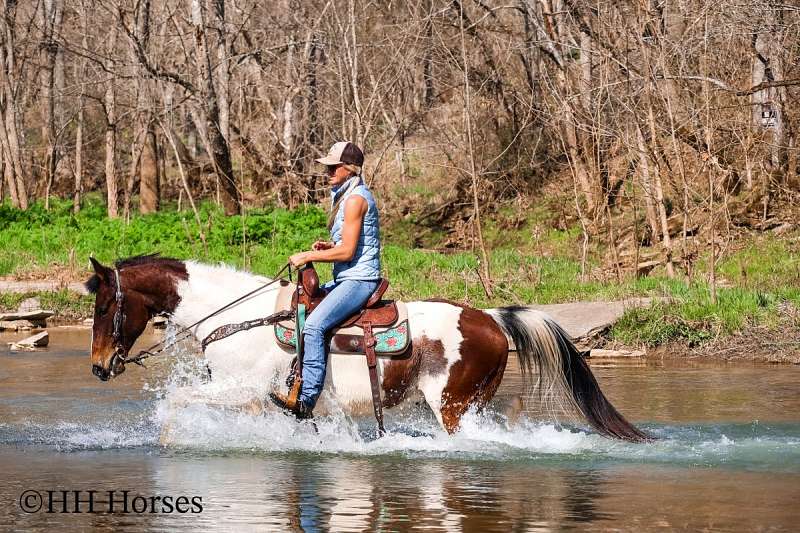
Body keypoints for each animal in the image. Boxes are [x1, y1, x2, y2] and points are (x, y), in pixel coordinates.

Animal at [85, 254, 649, 442]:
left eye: (105, 305)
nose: (98, 368)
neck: (233, 317)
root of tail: (490, 318)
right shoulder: (248, 399)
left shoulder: (236, 388)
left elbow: (174, 405)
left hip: (452, 407)